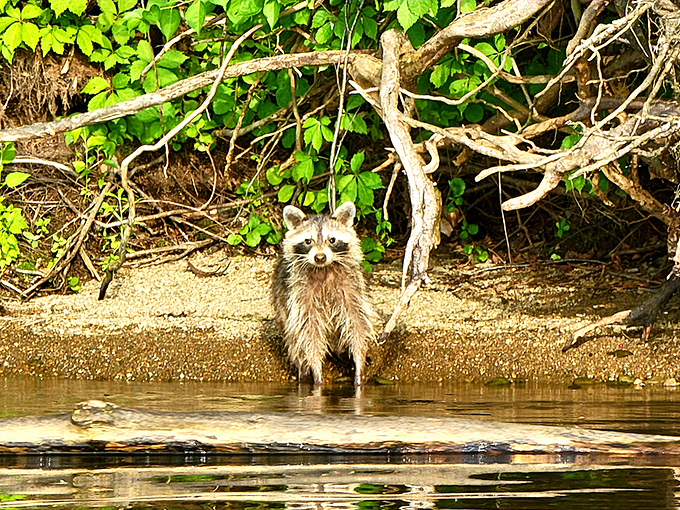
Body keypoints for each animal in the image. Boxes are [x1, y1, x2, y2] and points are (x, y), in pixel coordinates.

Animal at [271, 202, 377, 386]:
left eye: (332, 240)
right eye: (308, 241)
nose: (320, 257)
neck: (324, 269)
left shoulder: (352, 286)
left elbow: (357, 322)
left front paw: (359, 362)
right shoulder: (299, 293)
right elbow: (308, 330)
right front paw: (316, 370)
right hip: (282, 304)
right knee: (295, 341)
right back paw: (304, 372)